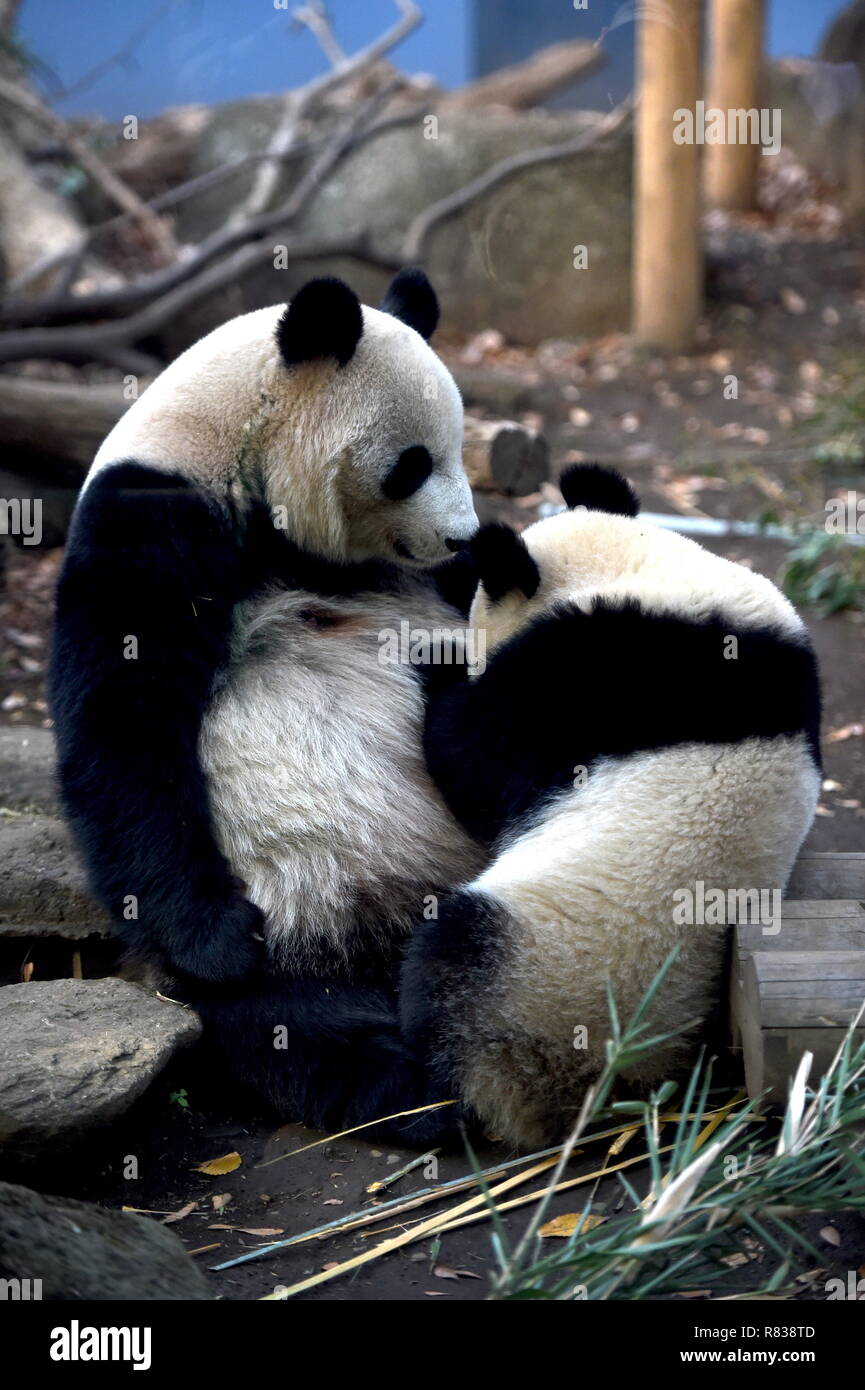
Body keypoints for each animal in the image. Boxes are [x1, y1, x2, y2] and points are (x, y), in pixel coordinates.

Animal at [49, 269, 485, 1143]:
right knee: (295, 1019)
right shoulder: (150, 519)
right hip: (296, 909)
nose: (463, 535)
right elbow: (124, 725)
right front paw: (214, 939)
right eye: (413, 464)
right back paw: (416, 1090)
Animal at [401, 464, 822, 1149]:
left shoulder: (578, 676)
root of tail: (609, 1081)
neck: (636, 569)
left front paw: (434, 660)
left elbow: (472, 765)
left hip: (544, 968)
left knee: (452, 962)